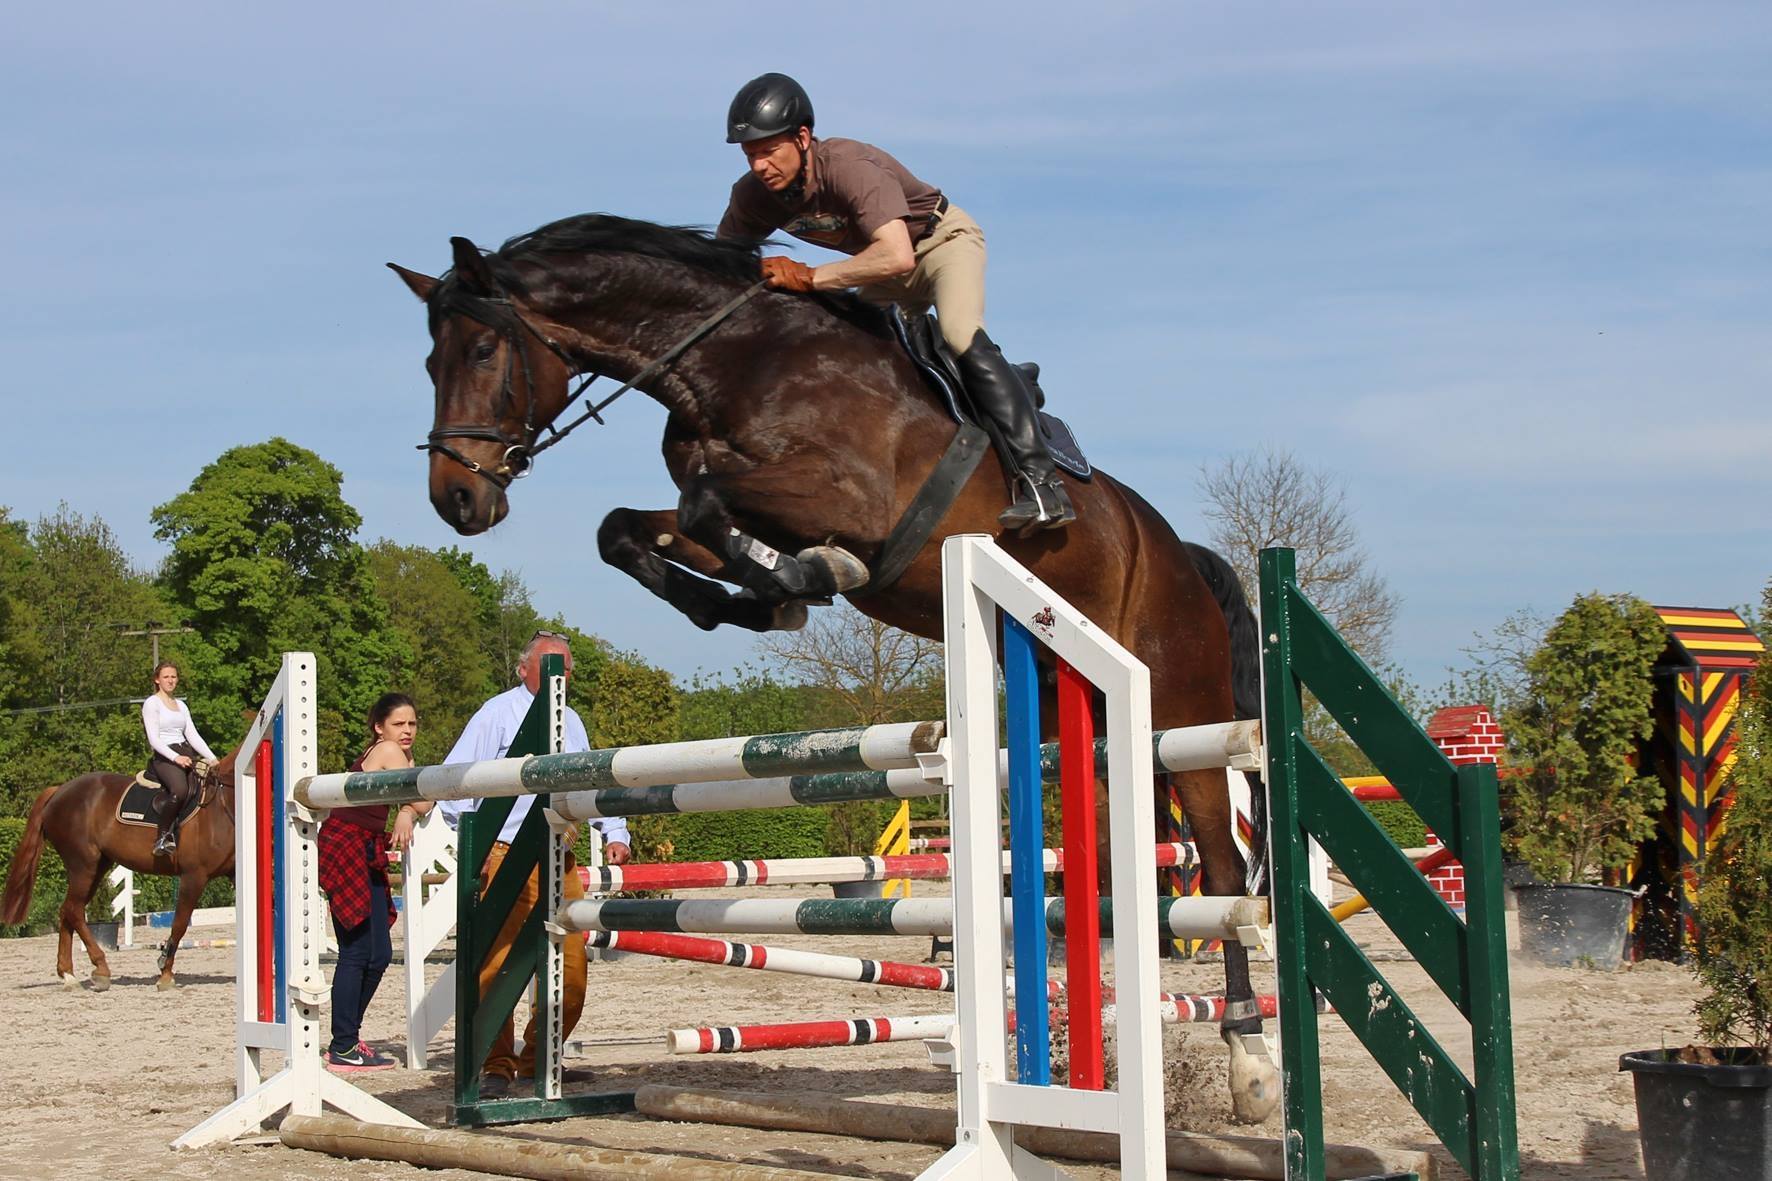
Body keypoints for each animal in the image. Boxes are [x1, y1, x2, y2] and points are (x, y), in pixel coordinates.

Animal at [1, 742, 242, 991]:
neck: (221, 803)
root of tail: (59, 791)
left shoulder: (234, 873)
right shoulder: (194, 876)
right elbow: (180, 924)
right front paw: (165, 974)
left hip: (97, 867)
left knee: (67, 911)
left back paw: (69, 975)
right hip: (83, 865)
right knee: (74, 910)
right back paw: (100, 969)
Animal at [388, 214, 1279, 1122]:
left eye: (483, 352)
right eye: (430, 363)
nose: (456, 499)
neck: (730, 361)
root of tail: (1179, 552)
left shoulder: (852, 499)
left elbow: (714, 506)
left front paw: (802, 577)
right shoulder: (727, 495)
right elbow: (630, 526)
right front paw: (761, 595)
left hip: (1180, 704)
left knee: (1224, 861)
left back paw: (1249, 1059)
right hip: (1089, 711)